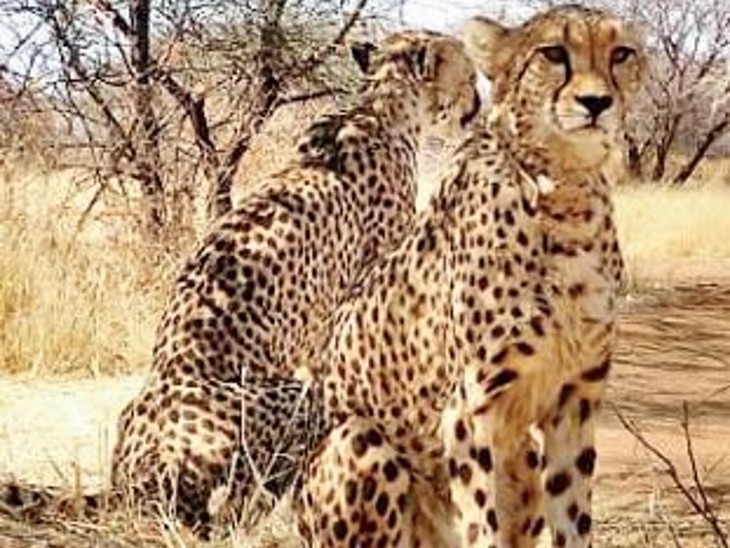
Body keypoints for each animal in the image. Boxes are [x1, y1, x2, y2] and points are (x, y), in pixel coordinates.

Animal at [108, 30, 482, 535]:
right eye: (468, 74)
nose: (479, 102)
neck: (381, 107)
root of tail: (132, 478)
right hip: (281, 400)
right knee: (238, 506)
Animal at [290, 5, 646, 547]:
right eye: (553, 53)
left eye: (621, 53)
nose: (596, 102)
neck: (565, 195)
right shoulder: (468, 409)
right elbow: (482, 523)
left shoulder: (575, 400)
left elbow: (573, 517)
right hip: (358, 441)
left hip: (523, 457)